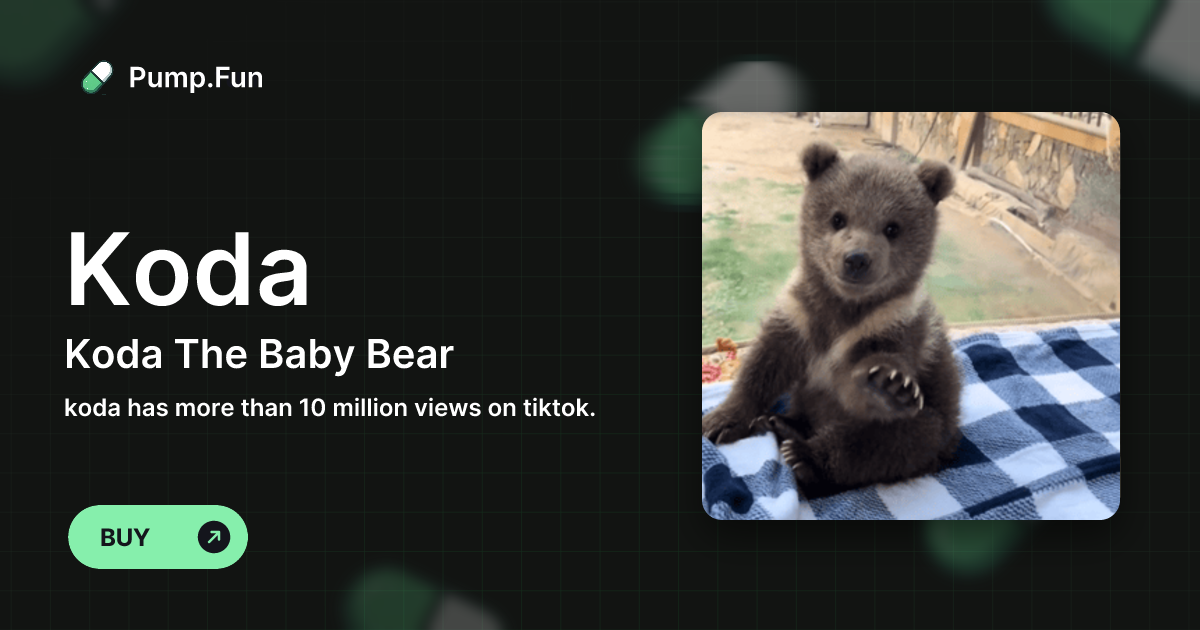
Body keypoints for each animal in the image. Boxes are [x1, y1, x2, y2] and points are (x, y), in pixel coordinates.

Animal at [701, 141, 963, 500]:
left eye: (892, 227)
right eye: (838, 218)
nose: (856, 259)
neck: (844, 308)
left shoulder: (893, 327)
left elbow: (863, 400)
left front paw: (889, 385)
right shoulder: (800, 315)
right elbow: (763, 366)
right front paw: (721, 420)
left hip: (936, 422)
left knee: (888, 442)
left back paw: (805, 457)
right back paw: (782, 423)